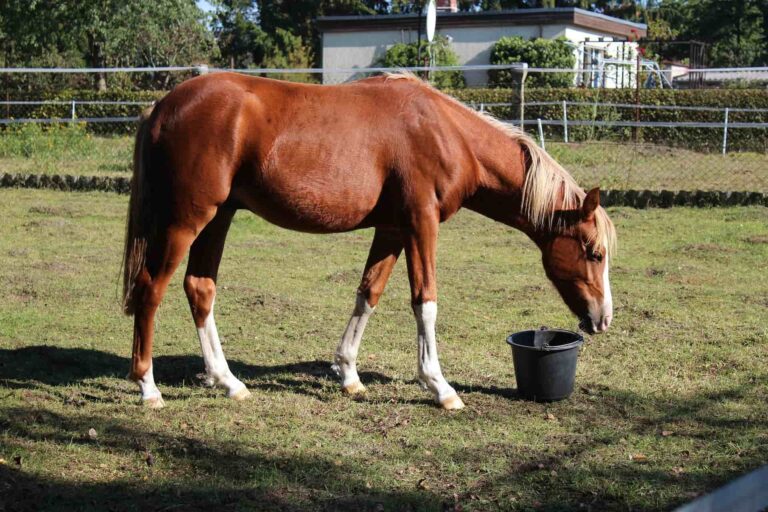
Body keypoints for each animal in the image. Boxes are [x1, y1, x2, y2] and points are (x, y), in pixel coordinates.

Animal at [122, 72, 616, 410]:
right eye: (594, 253)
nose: (603, 319)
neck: (446, 133)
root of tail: (162, 106)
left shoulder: (393, 229)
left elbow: (368, 293)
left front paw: (348, 374)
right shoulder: (421, 224)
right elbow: (425, 302)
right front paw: (440, 387)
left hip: (218, 219)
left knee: (199, 288)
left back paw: (227, 382)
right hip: (186, 221)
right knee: (150, 290)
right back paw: (148, 388)